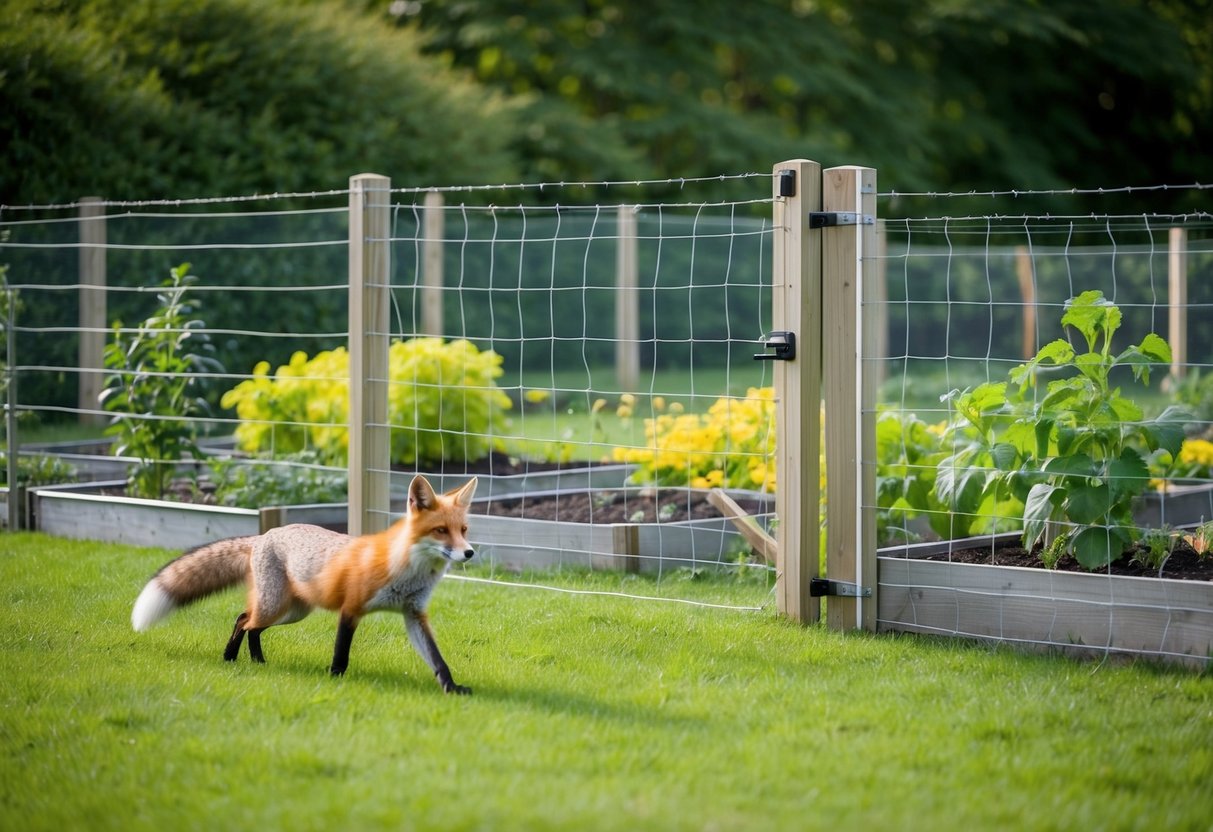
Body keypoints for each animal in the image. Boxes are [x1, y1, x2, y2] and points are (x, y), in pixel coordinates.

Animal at [131, 475, 478, 694]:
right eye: (440, 531)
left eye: (463, 530)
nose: (469, 552)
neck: (406, 572)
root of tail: (265, 534)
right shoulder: (351, 609)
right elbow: (341, 654)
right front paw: (335, 680)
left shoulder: (414, 614)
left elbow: (438, 660)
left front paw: (451, 688)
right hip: (276, 606)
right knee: (243, 620)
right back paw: (230, 657)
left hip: (293, 611)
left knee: (251, 626)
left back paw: (257, 662)